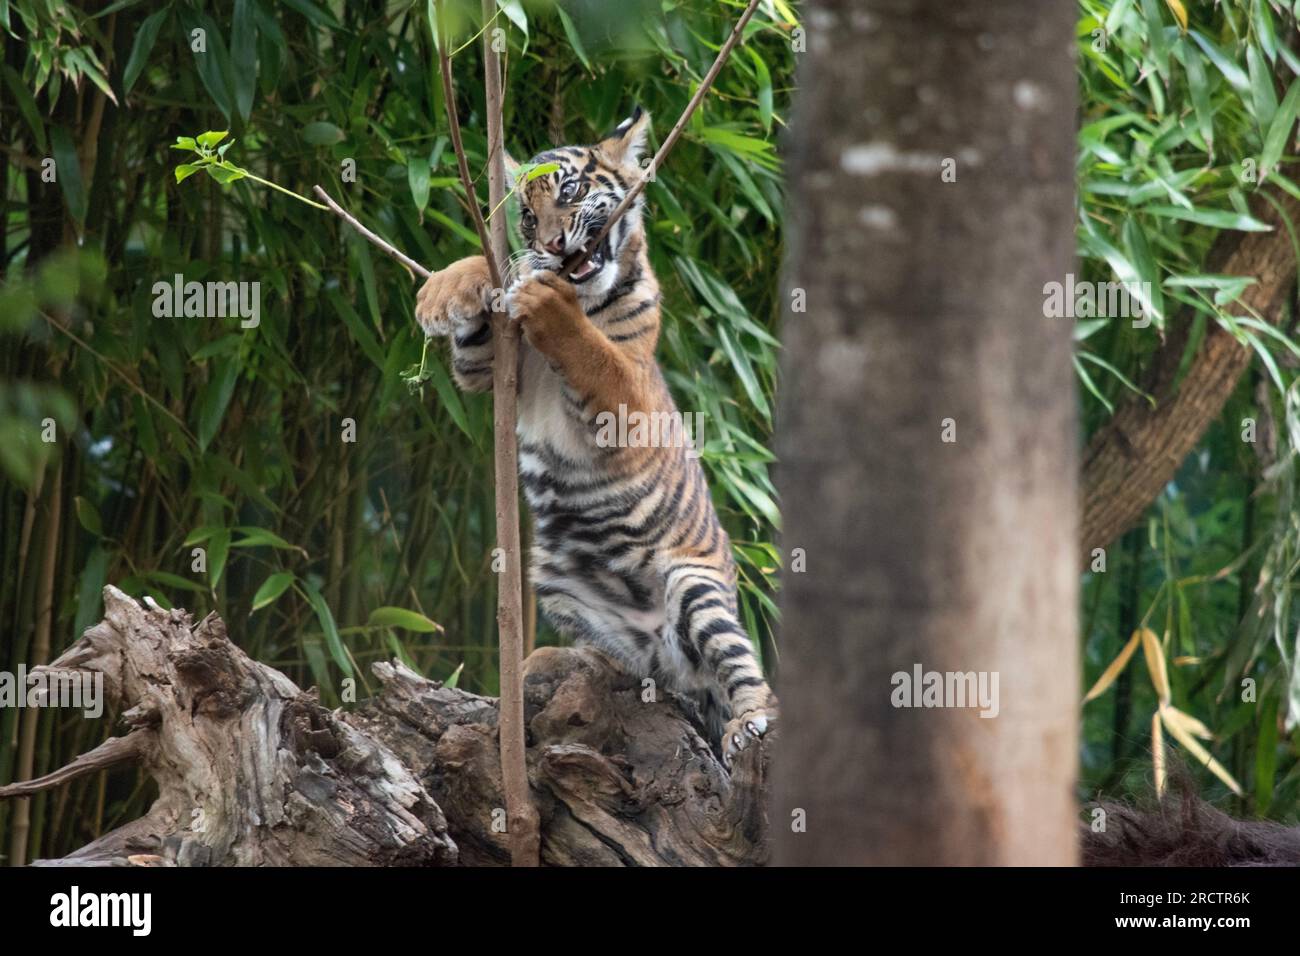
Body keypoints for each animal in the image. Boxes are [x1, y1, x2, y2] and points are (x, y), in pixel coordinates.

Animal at [414, 108, 776, 765]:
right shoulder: (488, 371)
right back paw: (551, 663)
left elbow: (591, 351)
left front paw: (547, 300)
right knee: (630, 668)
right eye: (527, 215)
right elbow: (491, 287)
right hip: (559, 586)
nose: (555, 244)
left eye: (571, 192)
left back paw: (749, 723)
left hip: (696, 587)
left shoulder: (628, 399)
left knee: (738, 672)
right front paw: (448, 290)